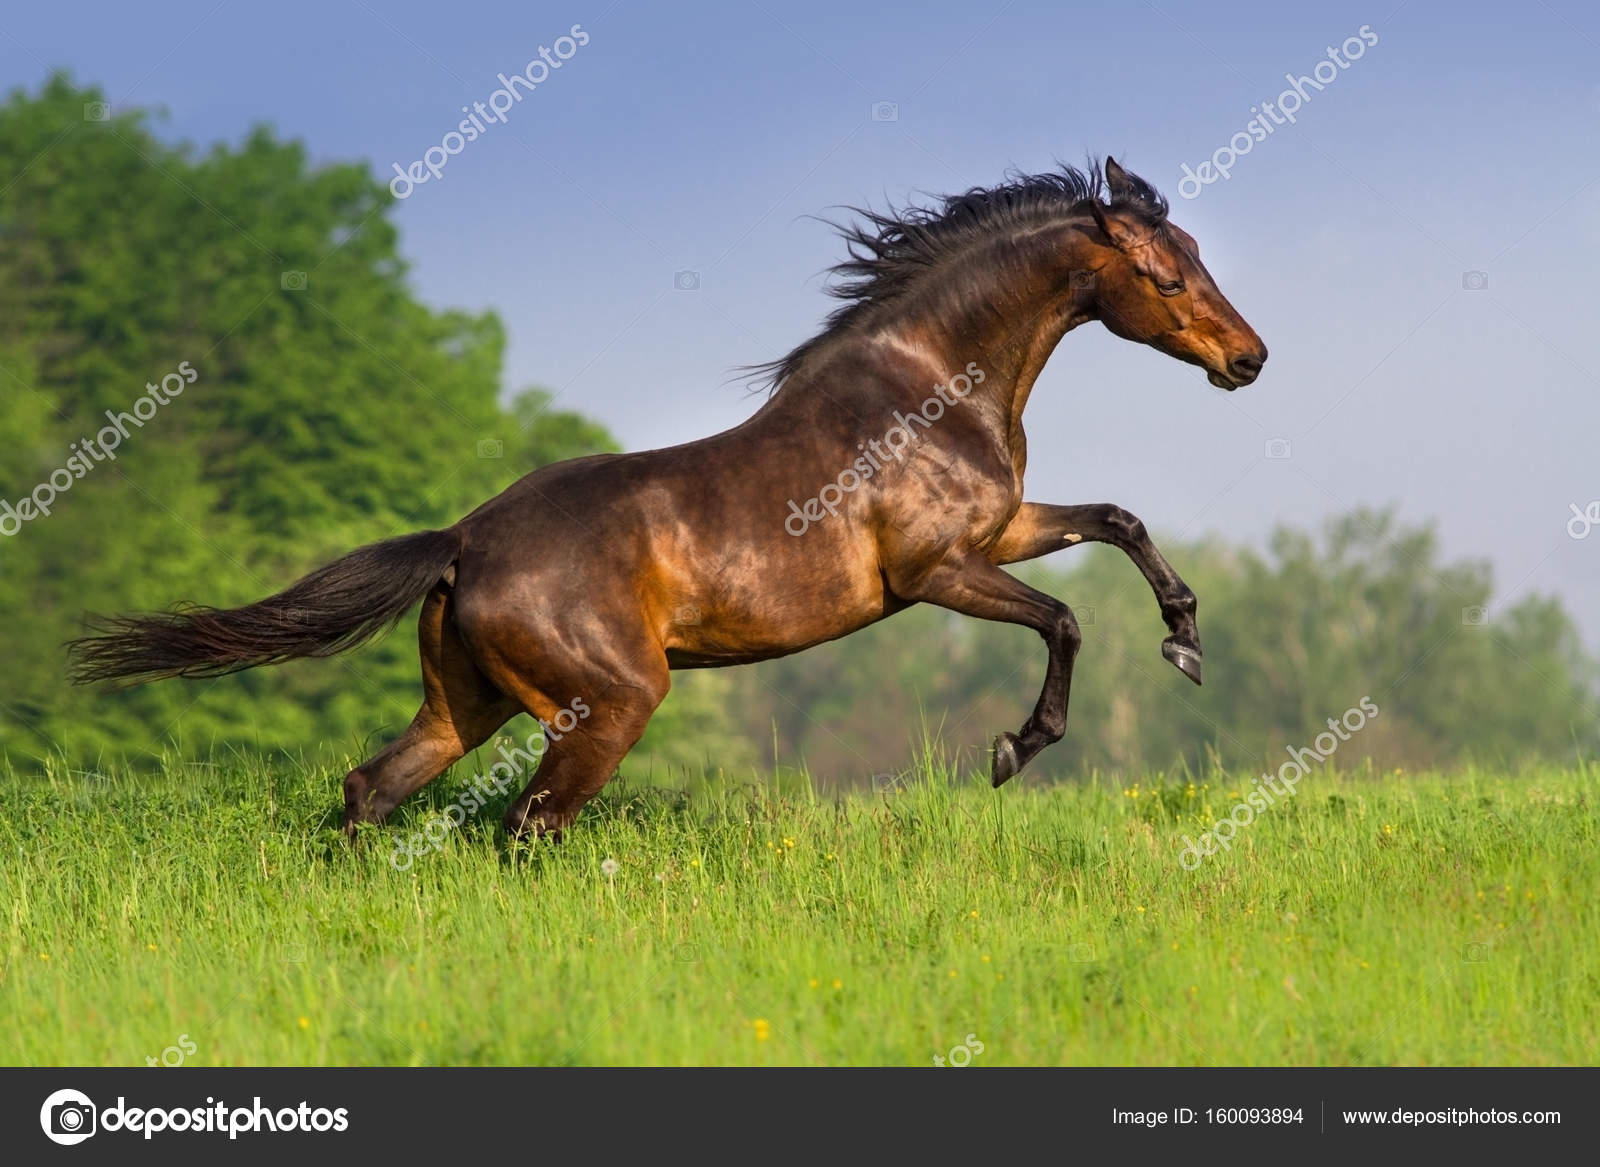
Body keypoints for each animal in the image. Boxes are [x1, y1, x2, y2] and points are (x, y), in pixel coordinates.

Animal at [69, 156, 1267, 839]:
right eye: (1162, 274)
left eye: (1200, 255)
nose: (1248, 359)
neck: (929, 388)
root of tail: (464, 541)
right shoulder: (934, 571)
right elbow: (1064, 620)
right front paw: (1016, 749)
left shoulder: (1003, 528)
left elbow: (1118, 521)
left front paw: (1185, 642)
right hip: (609, 704)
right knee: (528, 822)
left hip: (469, 703)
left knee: (375, 788)